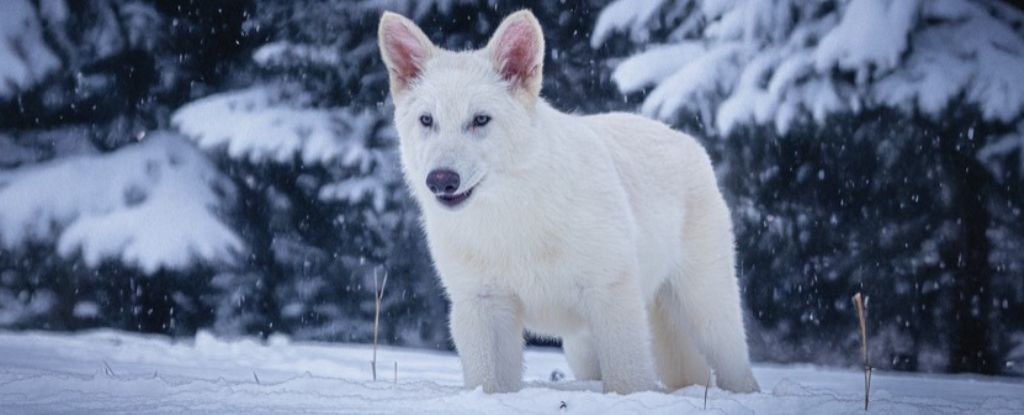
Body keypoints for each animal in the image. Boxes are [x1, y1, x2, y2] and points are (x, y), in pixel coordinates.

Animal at [377, 10, 760, 395]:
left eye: (480, 120)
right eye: (427, 121)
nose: (441, 180)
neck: (511, 221)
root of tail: (686, 139)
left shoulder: (610, 293)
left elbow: (627, 380)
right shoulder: (482, 306)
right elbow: (490, 385)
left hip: (707, 309)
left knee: (737, 368)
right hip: (587, 346)